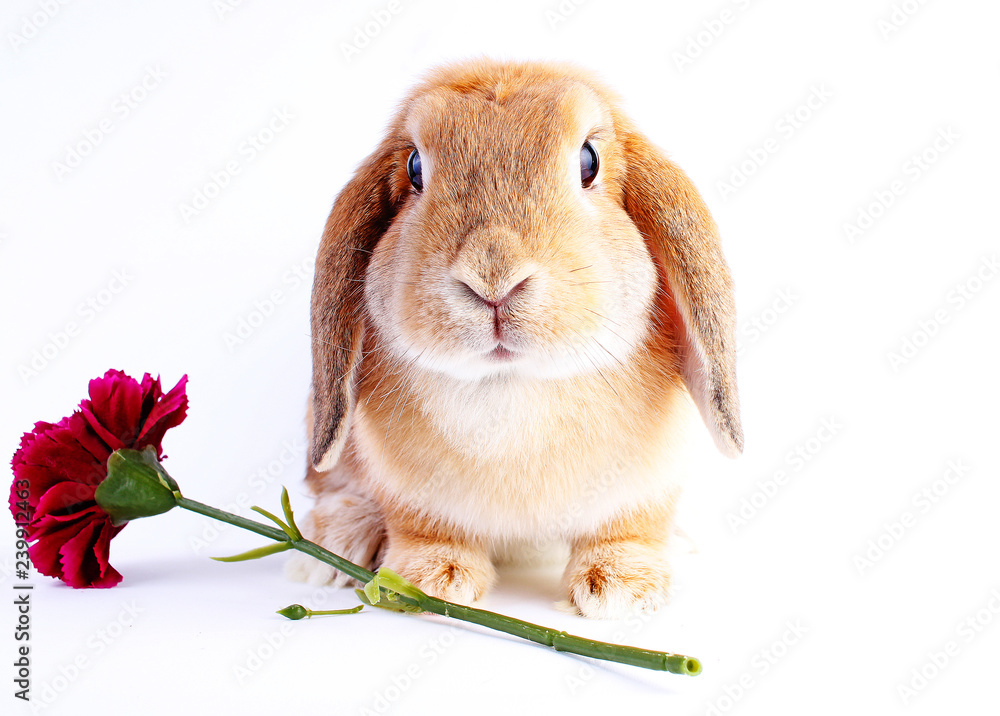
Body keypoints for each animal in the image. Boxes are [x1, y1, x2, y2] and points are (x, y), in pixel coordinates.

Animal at [286, 59, 743, 619]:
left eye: (589, 161)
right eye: (415, 167)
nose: (493, 277)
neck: (510, 382)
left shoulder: (644, 487)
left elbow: (628, 529)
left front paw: (620, 593)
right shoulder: (411, 495)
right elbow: (426, 530)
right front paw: (429, 581)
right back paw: (334, 545)